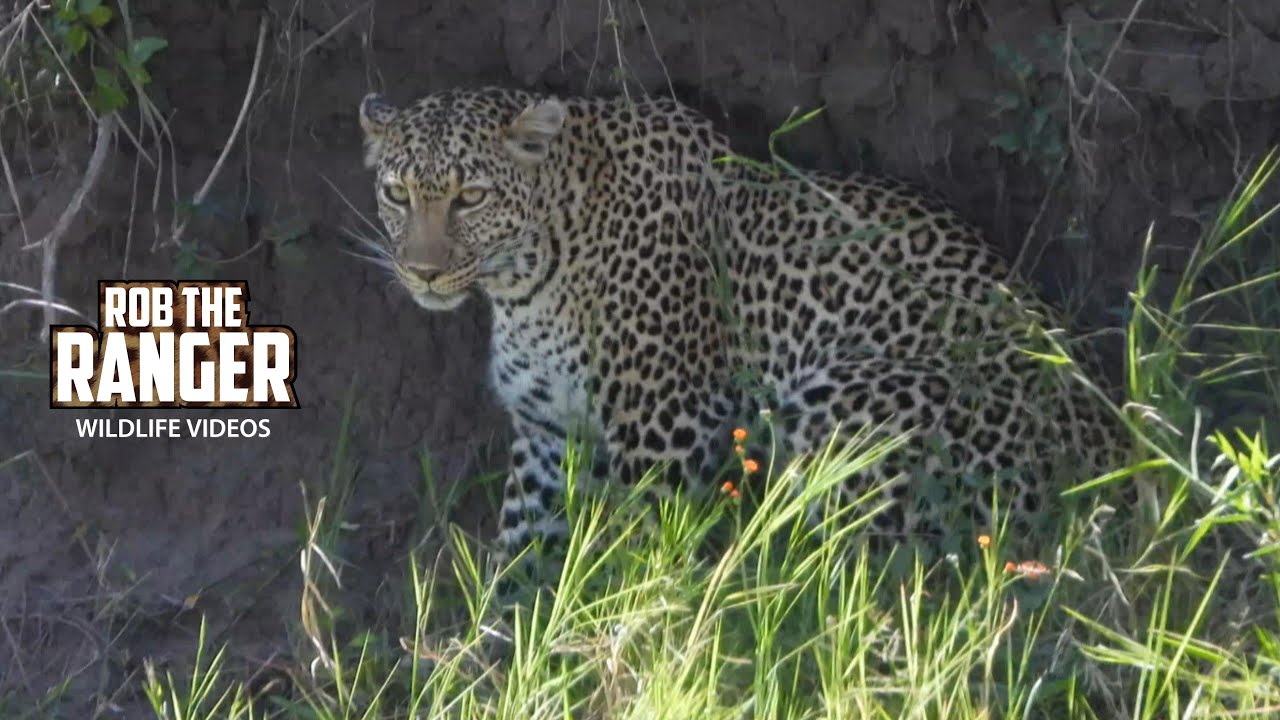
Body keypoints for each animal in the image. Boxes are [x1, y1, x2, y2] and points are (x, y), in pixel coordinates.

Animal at [356, 86, 1121, 577]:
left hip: (846, 410)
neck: (528, 277)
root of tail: (1107, 458)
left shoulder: (665, 429)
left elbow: (644, 554)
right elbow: (518, 560)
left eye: (470, 197)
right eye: (396, 194)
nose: (422, 272)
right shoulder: (550, 436)